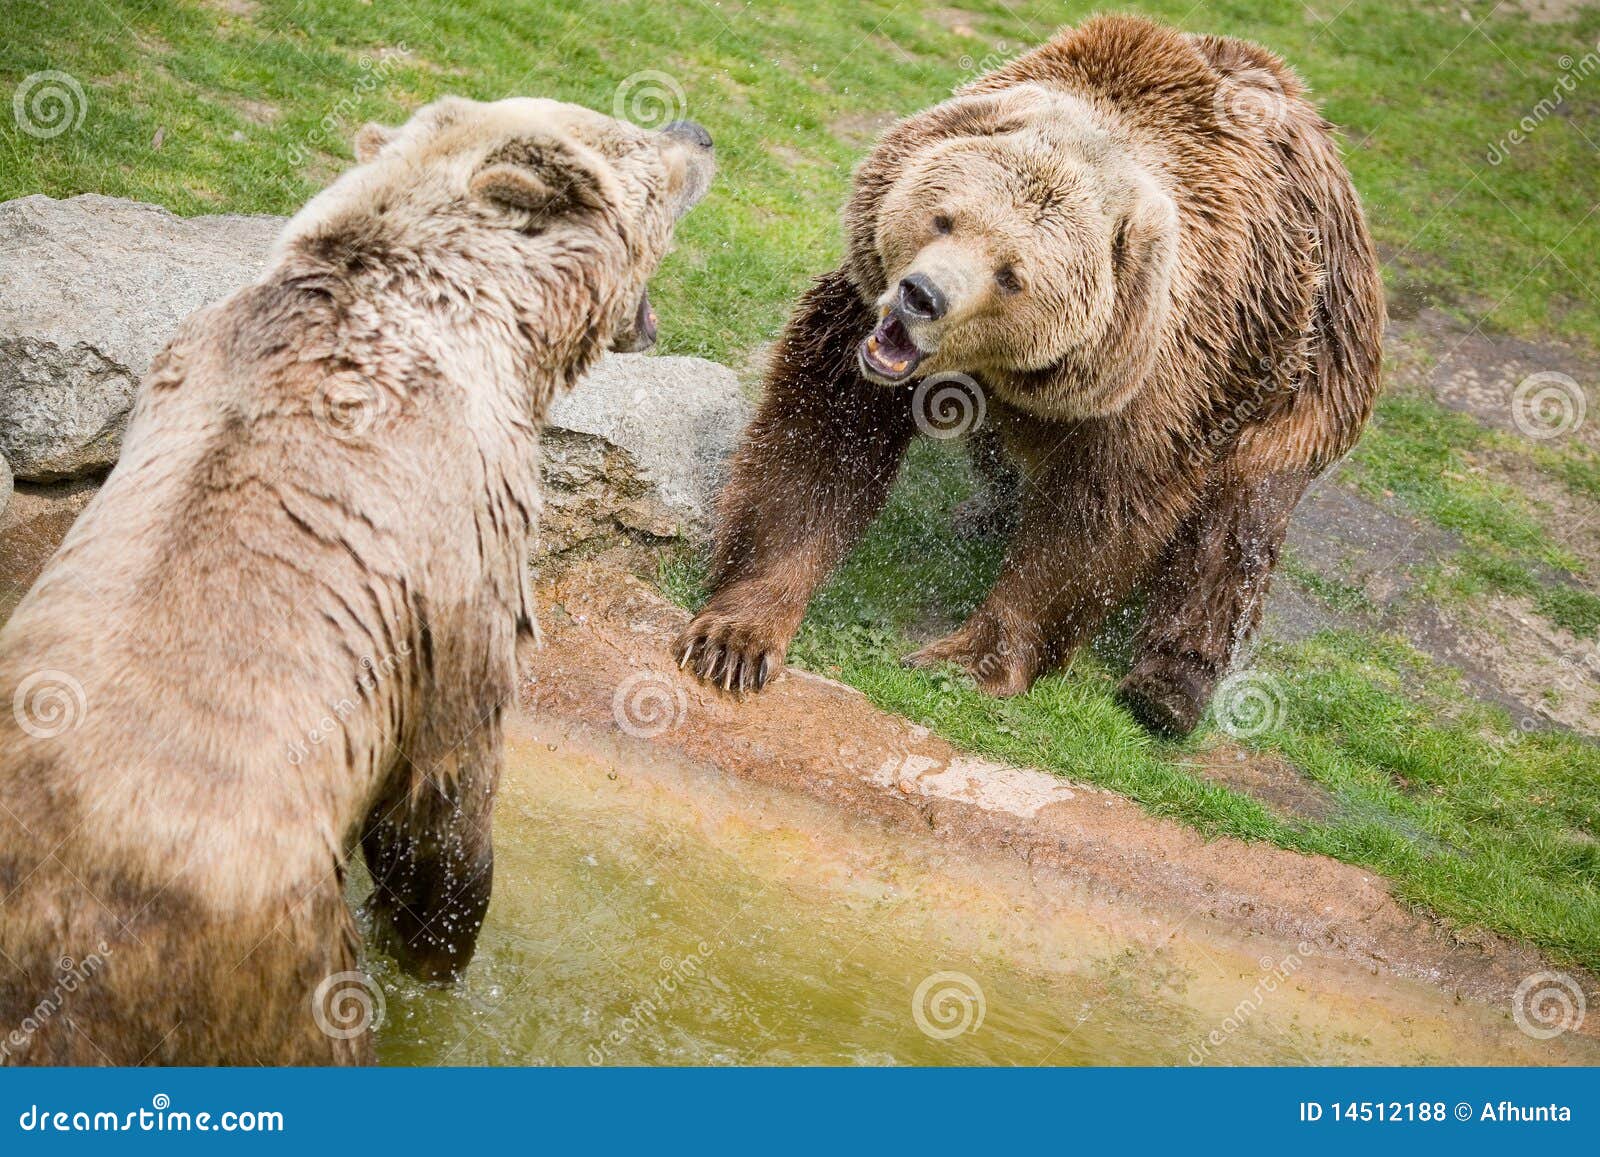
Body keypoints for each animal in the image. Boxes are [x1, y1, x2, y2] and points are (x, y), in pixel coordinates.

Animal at [0, 97, 712, 1065]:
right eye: (641, 147)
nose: (699, 135)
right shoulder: (454, 546)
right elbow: (450, 780)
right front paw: (437, 943)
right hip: (262, 973)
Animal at [676, 14, 1382, 738]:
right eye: (944, 216)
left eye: (1011, 274)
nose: (921, 296)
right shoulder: (862, 325)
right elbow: (819, 446)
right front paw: (738, 635)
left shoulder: (1155, 383)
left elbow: (1091, 526)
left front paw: (967, 657)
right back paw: (988, 511)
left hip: (1302, 371)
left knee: (1237, 526)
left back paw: (1167, 687)